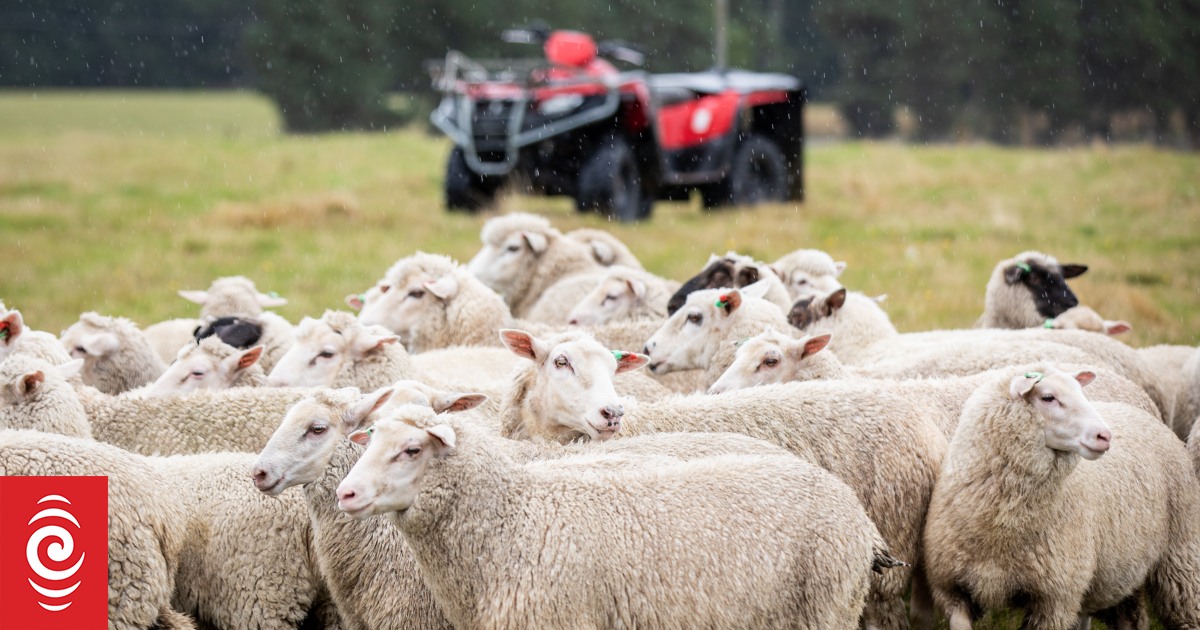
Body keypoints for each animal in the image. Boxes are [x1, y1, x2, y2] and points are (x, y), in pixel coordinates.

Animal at [923, 366, 1200, 628]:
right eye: (1048, 397)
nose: (1105, 436)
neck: (1001, 529)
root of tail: (1140, 413)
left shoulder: (1055, 601)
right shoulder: (952, 590)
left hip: (1180, 559)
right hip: (1115, 574)